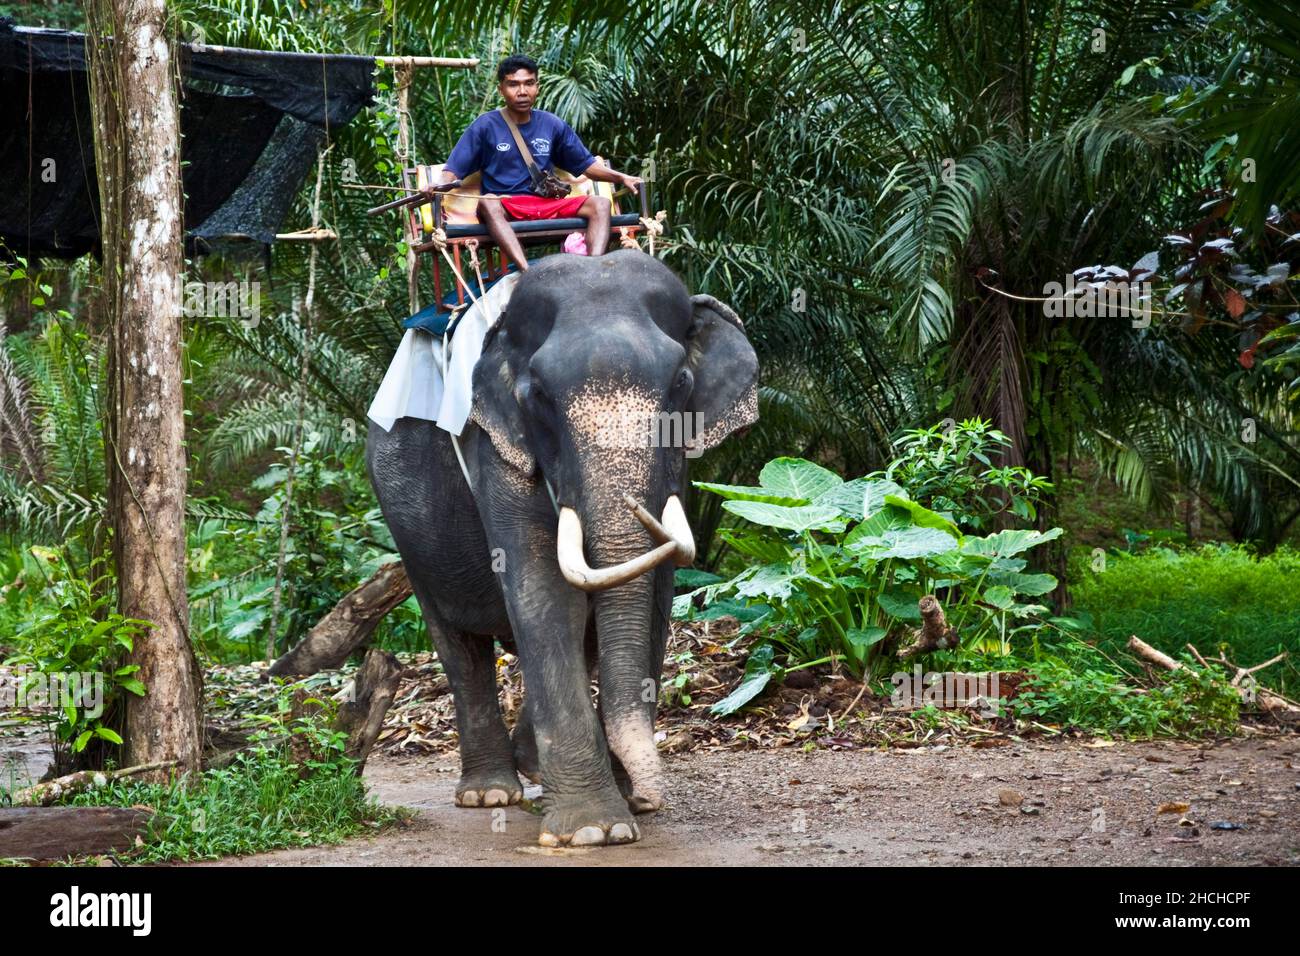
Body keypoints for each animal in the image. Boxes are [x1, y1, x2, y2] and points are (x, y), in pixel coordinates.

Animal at [366, 249, 758, 847]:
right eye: (538, 397)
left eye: (681, 384)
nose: (650, 797)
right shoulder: (496, 447)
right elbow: (546, 592)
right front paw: (594, 830)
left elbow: (649, 596)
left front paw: (625, 806)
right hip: (404, 526)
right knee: (458, 644)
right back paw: (489, 794)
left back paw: (529, 766)